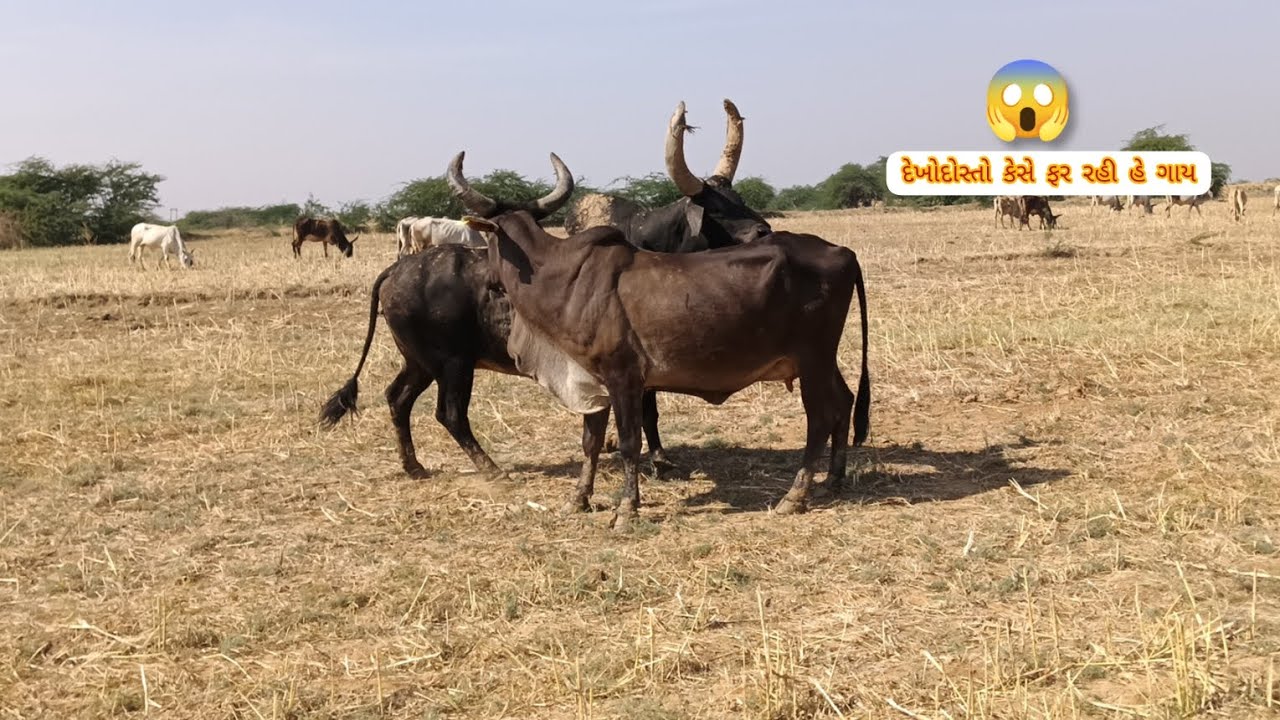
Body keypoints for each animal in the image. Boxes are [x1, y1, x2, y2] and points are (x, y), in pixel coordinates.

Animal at [454, 155, 870, 531]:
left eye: (486, 237)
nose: (488, 279)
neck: (563, 278)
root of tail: (843, 252)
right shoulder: (593, 380)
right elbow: (590, 442)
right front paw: (579, 499)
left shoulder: (624, 377)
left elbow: (628, 442)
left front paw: (626, 510)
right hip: (822, 360)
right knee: (844, 400)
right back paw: (832, 480)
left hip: (813, 359)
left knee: (820, 418)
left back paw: (795, 496)